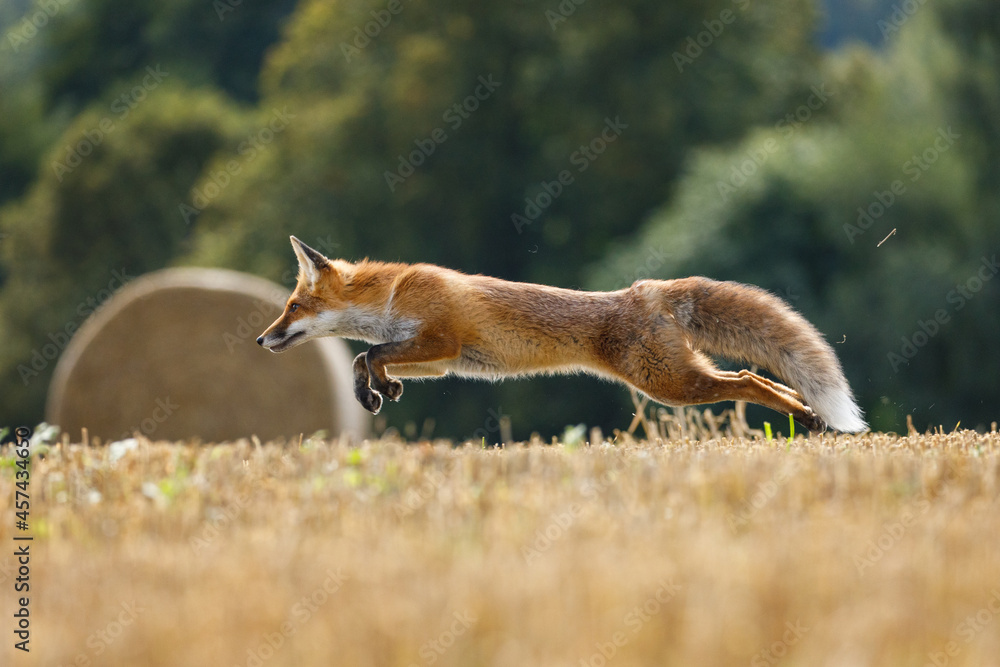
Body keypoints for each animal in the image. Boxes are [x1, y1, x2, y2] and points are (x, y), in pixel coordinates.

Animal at [257, 236, 867, 433]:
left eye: (291, 307)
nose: (261, 341)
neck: (392, 295)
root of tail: (645, 290)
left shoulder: (441, 340)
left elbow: (370, 351)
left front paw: (375, 388)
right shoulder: (444, 359)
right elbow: (366, 358)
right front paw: (376, 391)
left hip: (670, 386)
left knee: (747, 380)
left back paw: (806, 415)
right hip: (678, 379)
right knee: (764, 378)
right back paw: (808, 414)